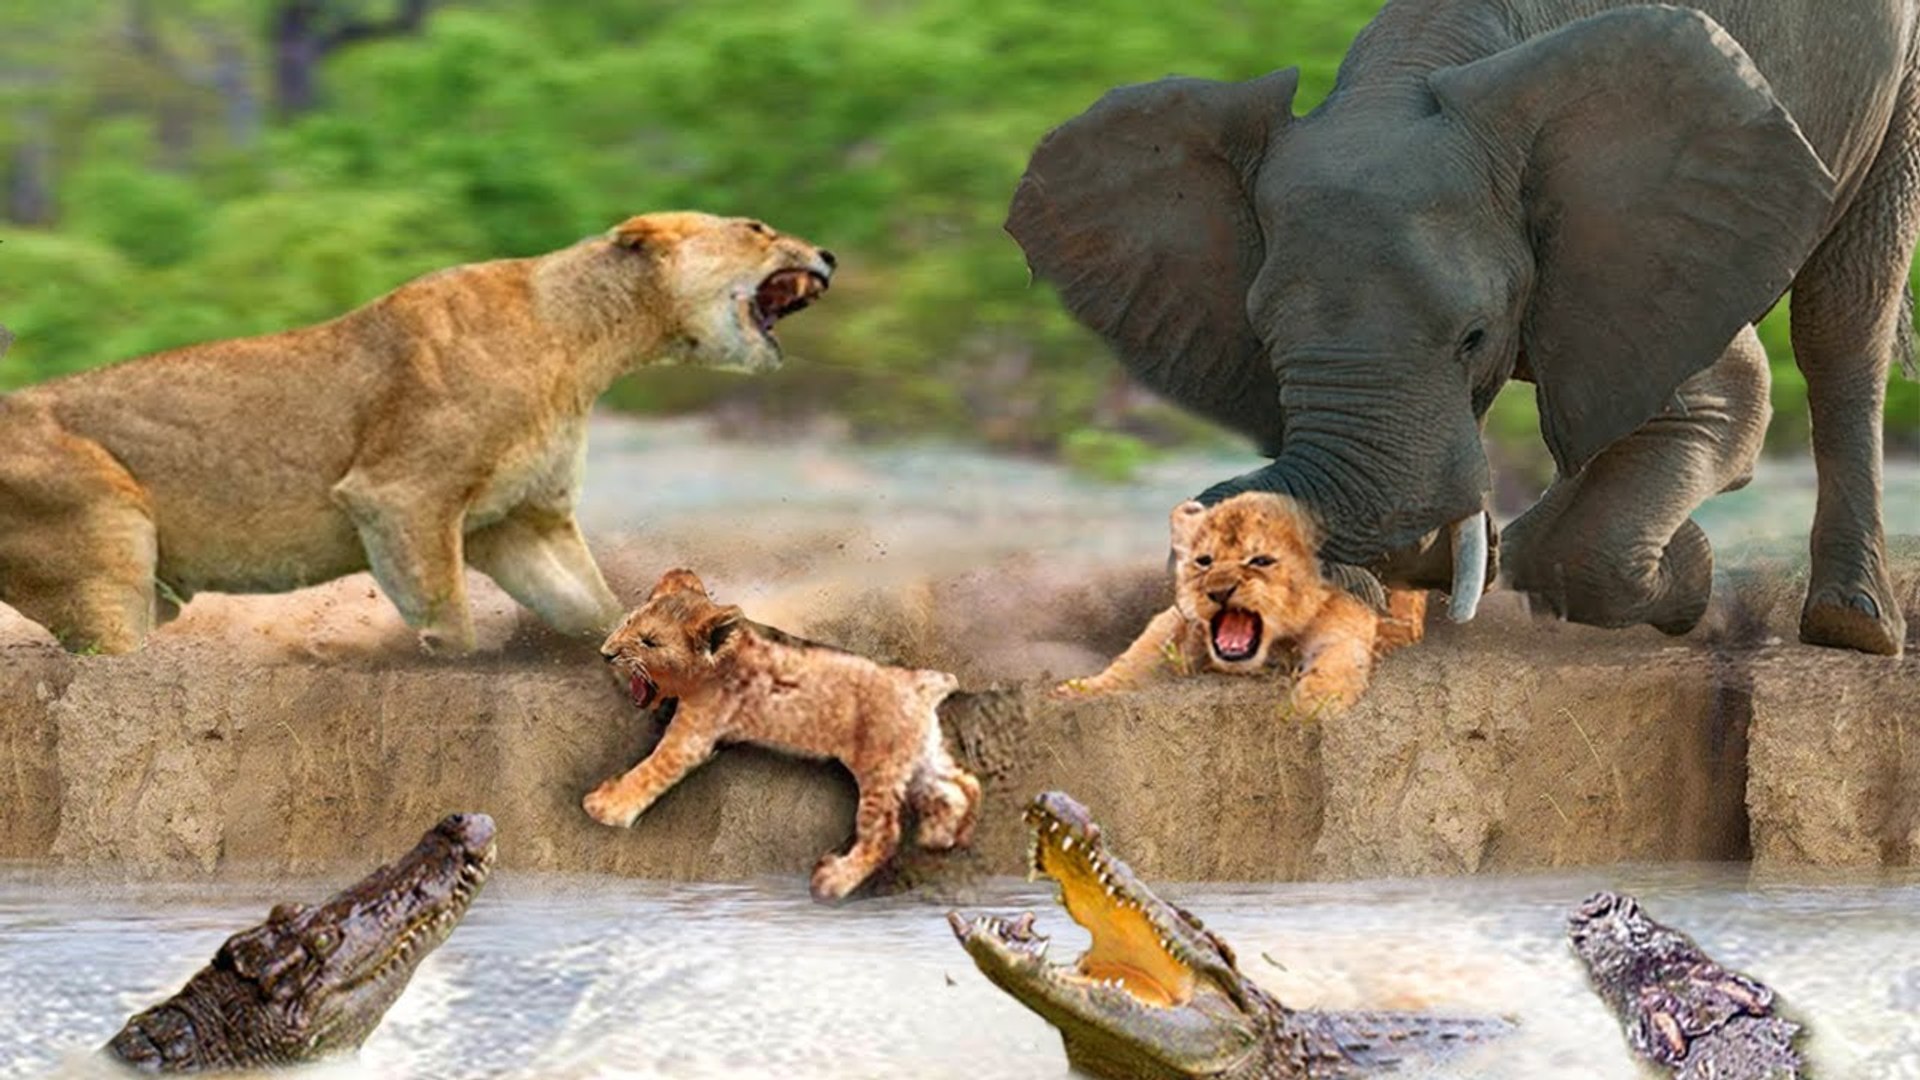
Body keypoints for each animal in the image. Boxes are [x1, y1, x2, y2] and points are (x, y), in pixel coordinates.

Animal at [0, 212, 833, 655]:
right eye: (758, 229)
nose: (827, 253)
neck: (582, 343)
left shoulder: (522, 521)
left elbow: (591, 607)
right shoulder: (400, 496)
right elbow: (447, 616)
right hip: (106, 554)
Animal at [583, 568, 982, 901]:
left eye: (649, 642)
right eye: (629, 622)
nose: (606, 653)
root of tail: (921, 683)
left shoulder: (692, 736)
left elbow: (651, 770)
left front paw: (606, 807)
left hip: (879, 769)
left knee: (884, 834)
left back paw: (833, 881)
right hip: (920, 758)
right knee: (964, 784)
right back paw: (944, 834)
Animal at [1008, 0, 1918, 654]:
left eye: (1474, 335)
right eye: (1262, 341)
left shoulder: (1646, 238)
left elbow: (1729, 398)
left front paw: (1680, 572)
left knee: (1844, 314)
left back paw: (1852, 625)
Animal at [1059, 493, 1427, 713]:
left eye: (1261, 560)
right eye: (1204, 561)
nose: (1220, 591)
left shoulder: (1344, 628)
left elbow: (1337, 660)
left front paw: (1315, 701)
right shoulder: (1177, 620)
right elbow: (1138, 655)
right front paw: (1080, 690)